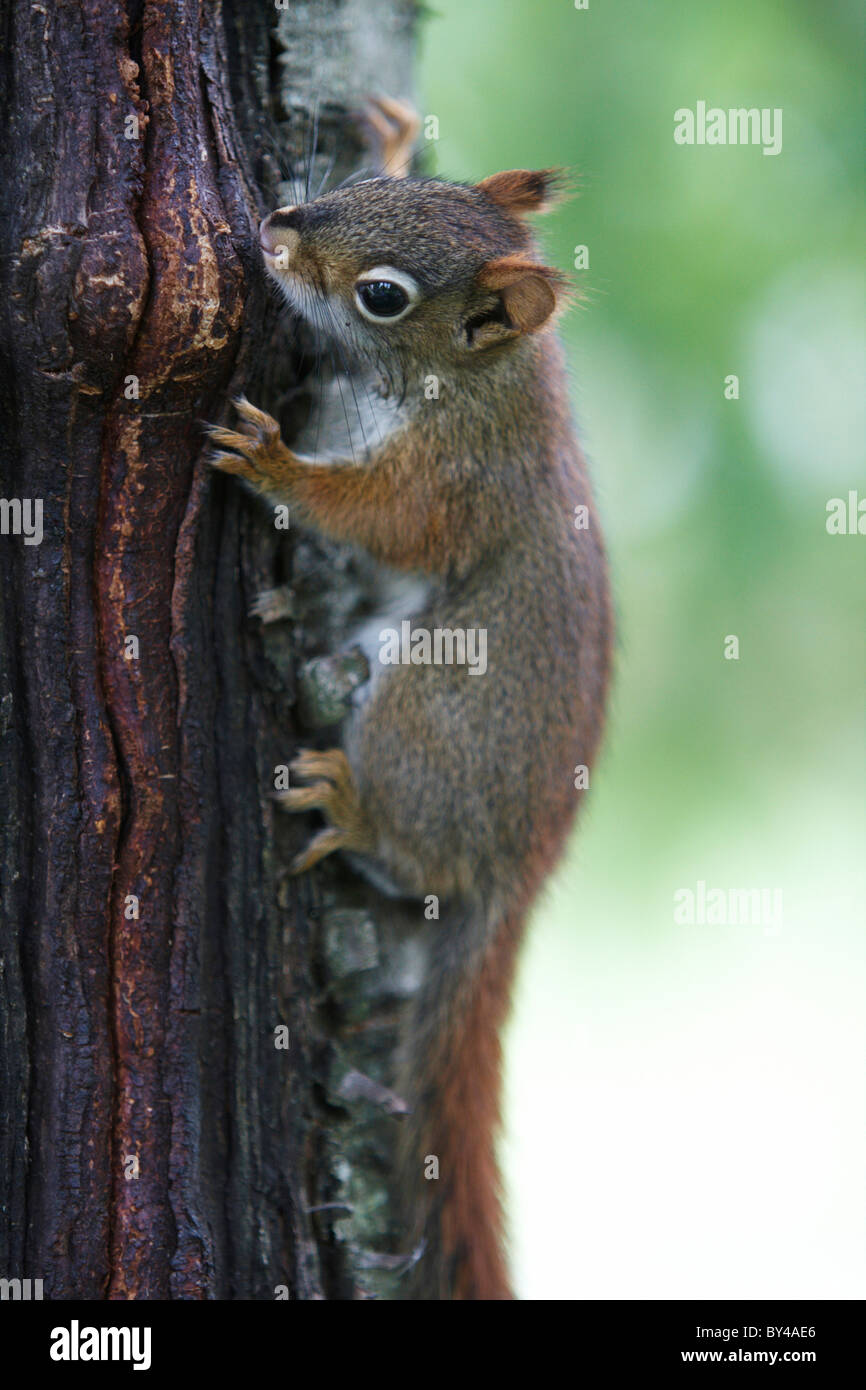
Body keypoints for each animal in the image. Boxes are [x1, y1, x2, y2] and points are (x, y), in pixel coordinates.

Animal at [207, 97, 613, 1300]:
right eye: (370, 189)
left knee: (413, 840)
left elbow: (381, 517)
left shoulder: (449, 480)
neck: (497, 378)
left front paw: (280, 468)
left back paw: (350, 807)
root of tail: (522, 867)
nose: (275, 228)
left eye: (381, 295)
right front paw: (392, 132)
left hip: (424, 710)